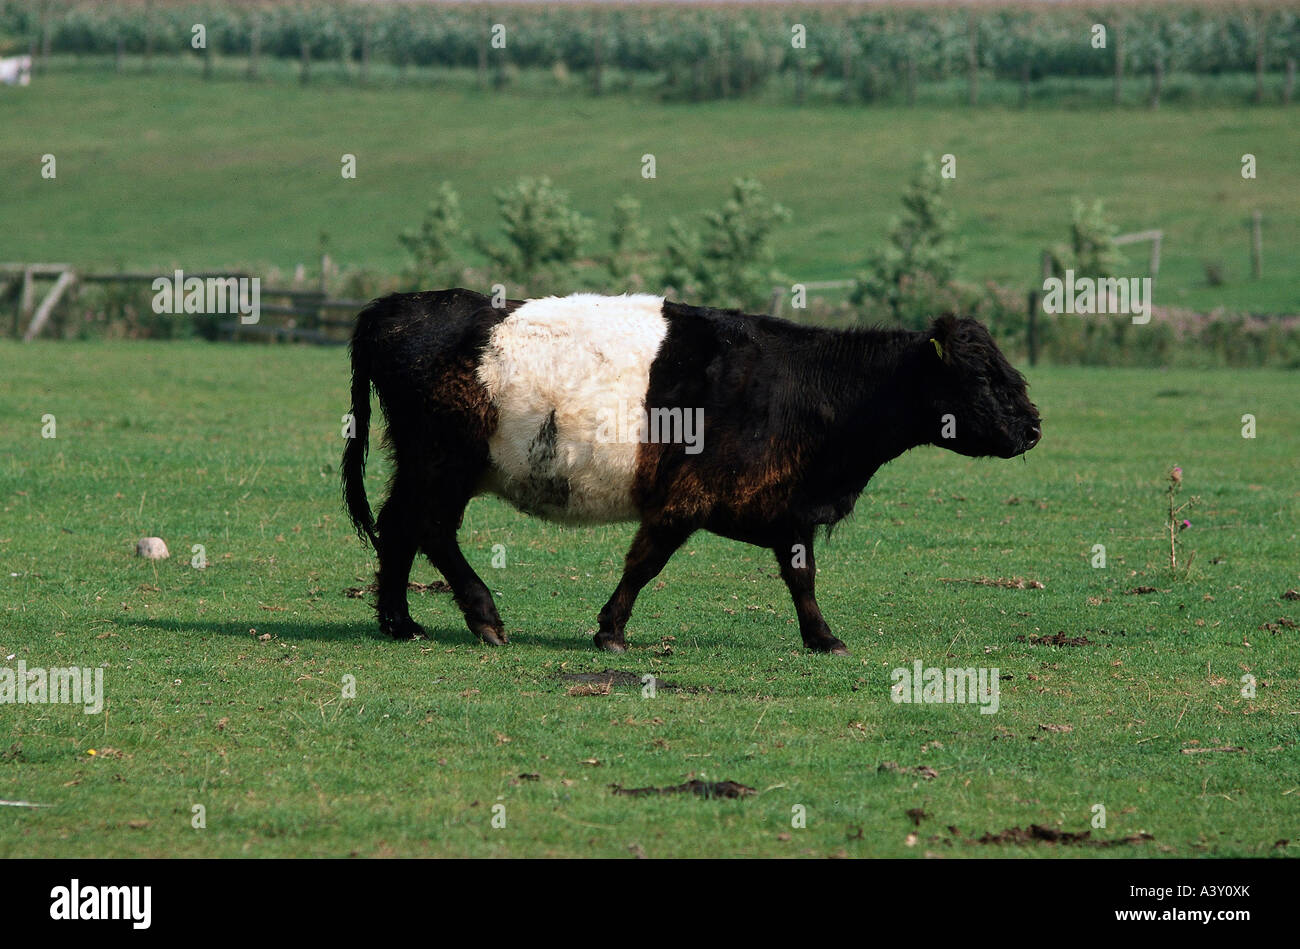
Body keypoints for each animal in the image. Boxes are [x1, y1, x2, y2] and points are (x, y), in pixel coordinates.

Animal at [343, 289, 1040, 654]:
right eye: (981, 377)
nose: (1034, 427)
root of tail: (393, 306)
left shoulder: (788, 507)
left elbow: (802, 577)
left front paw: (822, 637)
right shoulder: (684, 499)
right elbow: (644, 564)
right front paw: (611, 631)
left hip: (425, 463)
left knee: (400, 529)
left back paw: (400, 622)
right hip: (443, 462)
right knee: (428, 529)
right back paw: (481, 616)